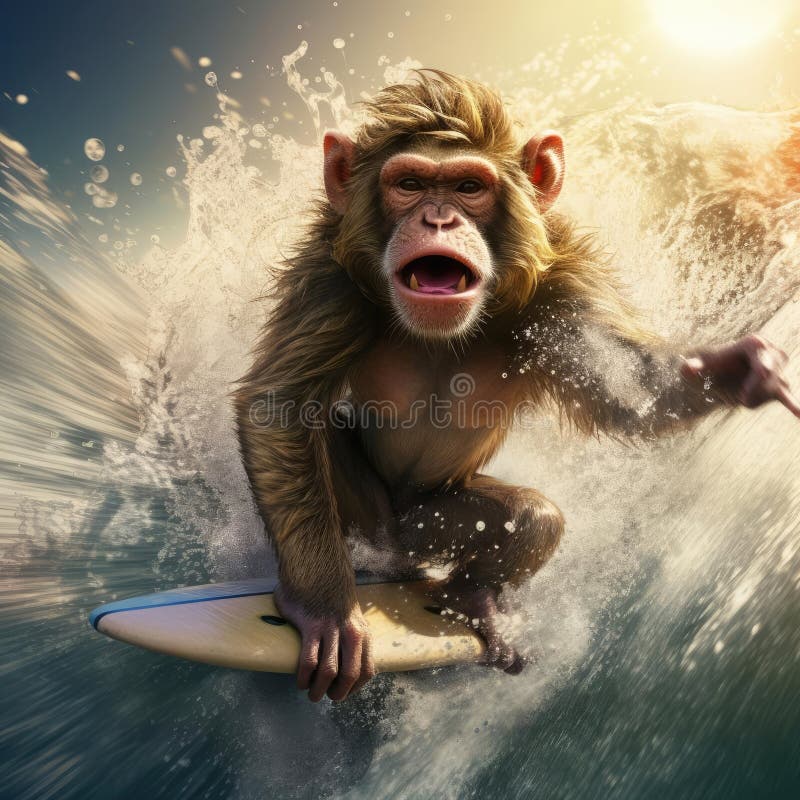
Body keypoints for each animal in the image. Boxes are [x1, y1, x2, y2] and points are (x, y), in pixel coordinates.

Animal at [234, 70, 800, 704]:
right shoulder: (330, 281)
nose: (438, 218)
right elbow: (281, 406)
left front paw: (736, 371)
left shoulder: (562, 288)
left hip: (428, 526)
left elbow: (629, 392)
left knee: (532, 515)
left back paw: (468, 600)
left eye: (467, 186)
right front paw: (324, 609)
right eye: (409, 184)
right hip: (375, 527)